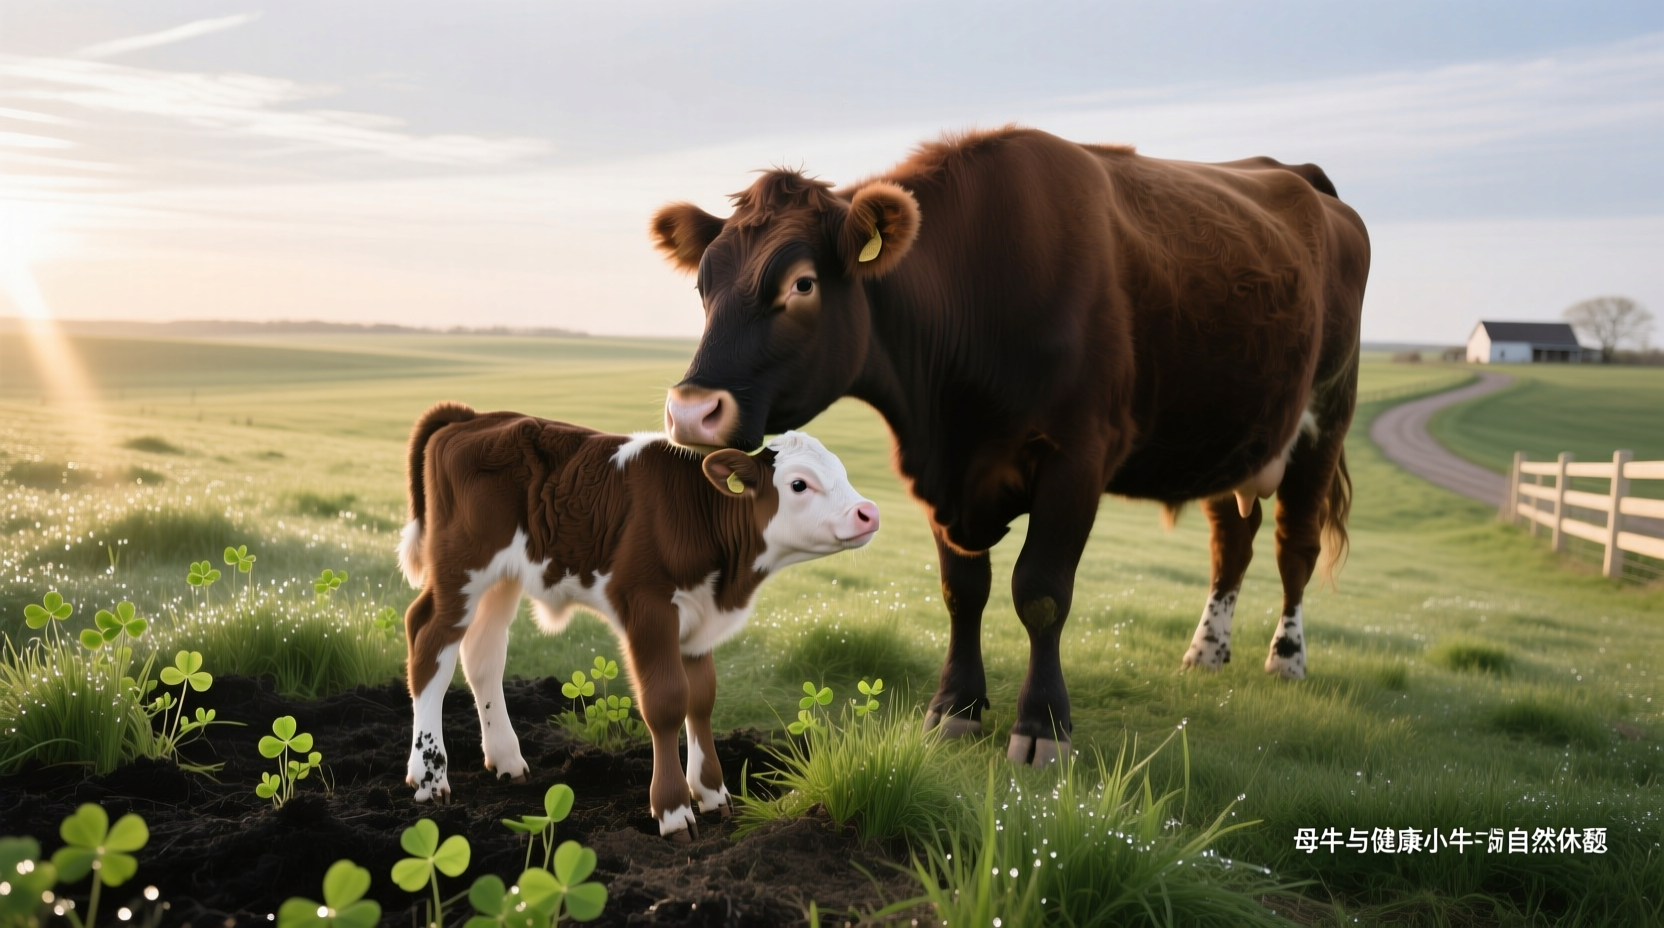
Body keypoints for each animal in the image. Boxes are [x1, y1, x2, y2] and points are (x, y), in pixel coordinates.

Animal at [395, 402, 879, 838]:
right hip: (461, 567)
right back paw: (430, 778)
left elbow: (701, 697)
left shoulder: (699, 619)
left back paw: (508, 762)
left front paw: (712, 794)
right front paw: (673, 812)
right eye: (799, 484)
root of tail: (475, 416)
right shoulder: (647, 605)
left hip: (502, 578)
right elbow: (666, 701)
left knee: (483, 655)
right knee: (429, 641)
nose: (869, 512)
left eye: (842, 472)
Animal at [651, 126, 1369, 767]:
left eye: (802, 283)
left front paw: (1043, 725)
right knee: (1231, 545)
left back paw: (1286, 658)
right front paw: (955, 708)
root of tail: (1297, 174)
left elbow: (1041, 592)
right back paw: (1206, 652)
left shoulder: (1077, 459)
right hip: (1230, 440)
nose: (690, 411)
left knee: (1295, 546)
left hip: (1324, 417)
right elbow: (962, 590)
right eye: (703, 285)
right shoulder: (944, 473)